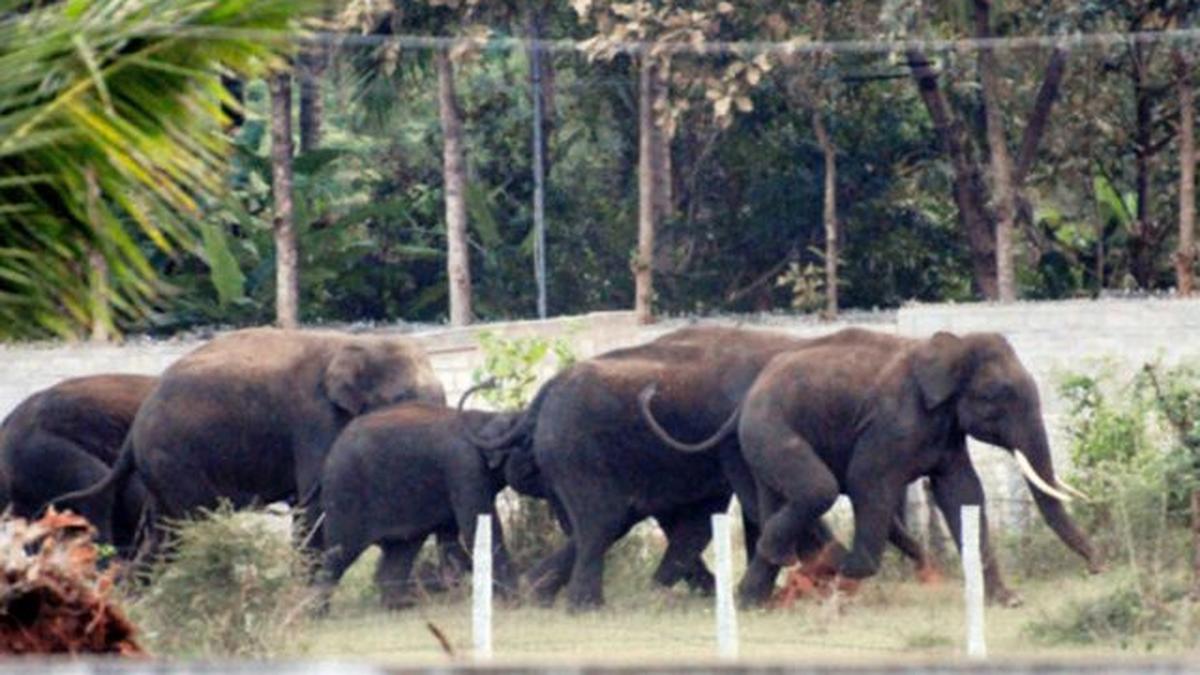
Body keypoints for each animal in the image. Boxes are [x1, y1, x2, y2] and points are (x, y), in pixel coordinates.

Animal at [54, 328, 444, 551]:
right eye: (405, 398)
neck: (359, 344)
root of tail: (134, 431)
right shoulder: (315, 418)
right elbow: (317, 501)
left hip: (162, 470)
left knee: (164, 534)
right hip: (174, 460)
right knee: (191, 524)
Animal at [641, 329, 1102, 606]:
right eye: (997, 394)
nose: (1099, 568)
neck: (946, 346)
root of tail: (748, 395)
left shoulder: (947, 432)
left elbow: (964, 494)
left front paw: (1008, 601)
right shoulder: (892, 424)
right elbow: (869, 483)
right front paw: (843, 572)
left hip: (760, 441)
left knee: (773, 503)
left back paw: (755, 598)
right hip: (770, 428)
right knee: (818, 489)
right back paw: (812, 567)